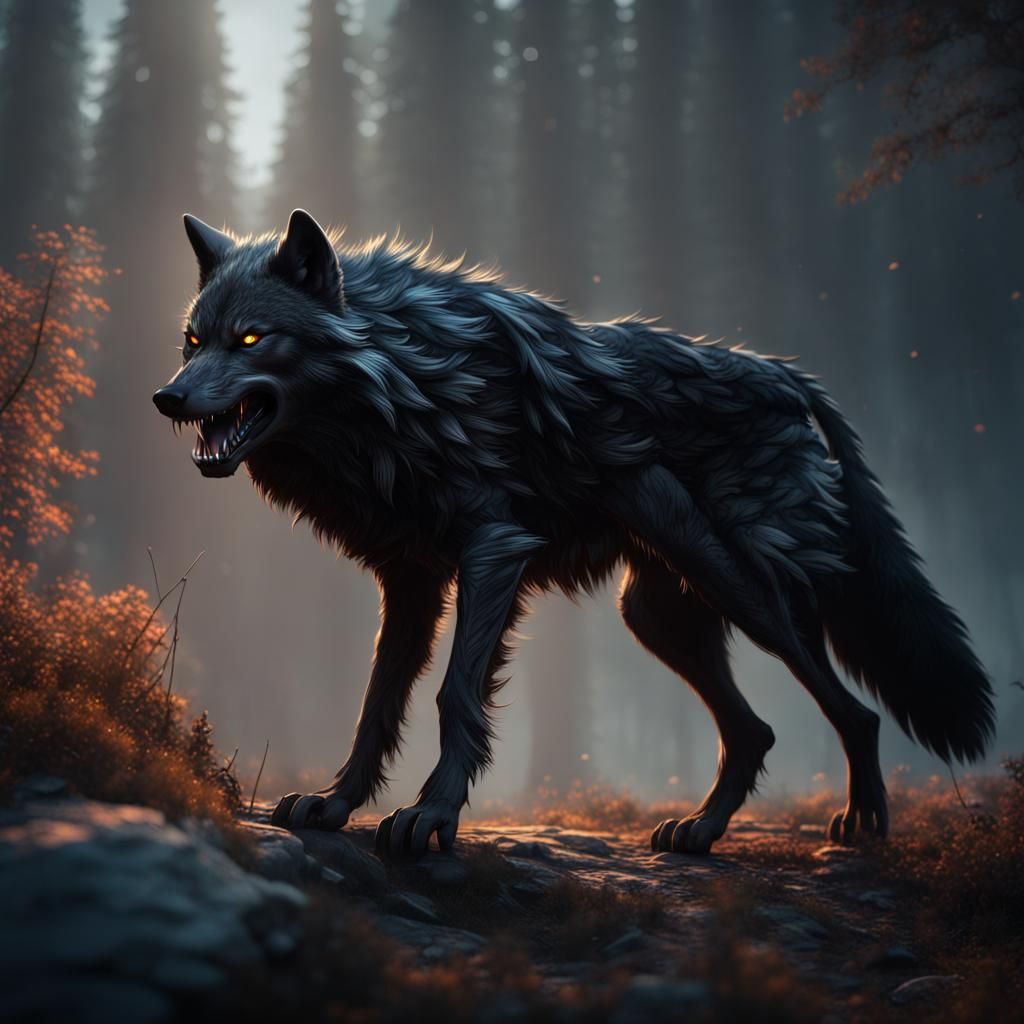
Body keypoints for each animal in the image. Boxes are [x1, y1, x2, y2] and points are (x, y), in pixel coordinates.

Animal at [154, 209, 994, 857]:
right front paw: (334, 805)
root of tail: (786, 373)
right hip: (656, 616)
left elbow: (455, 695)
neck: (403, 380)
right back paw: (699, 833)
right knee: (754, 730)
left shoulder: (493, 550)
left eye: (252, 339)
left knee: (854, 710)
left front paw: (431, 816)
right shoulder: (412, 578)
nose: (167, 398)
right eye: (193, 341)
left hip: (746, 591)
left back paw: (864, 823)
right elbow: (377, 701)